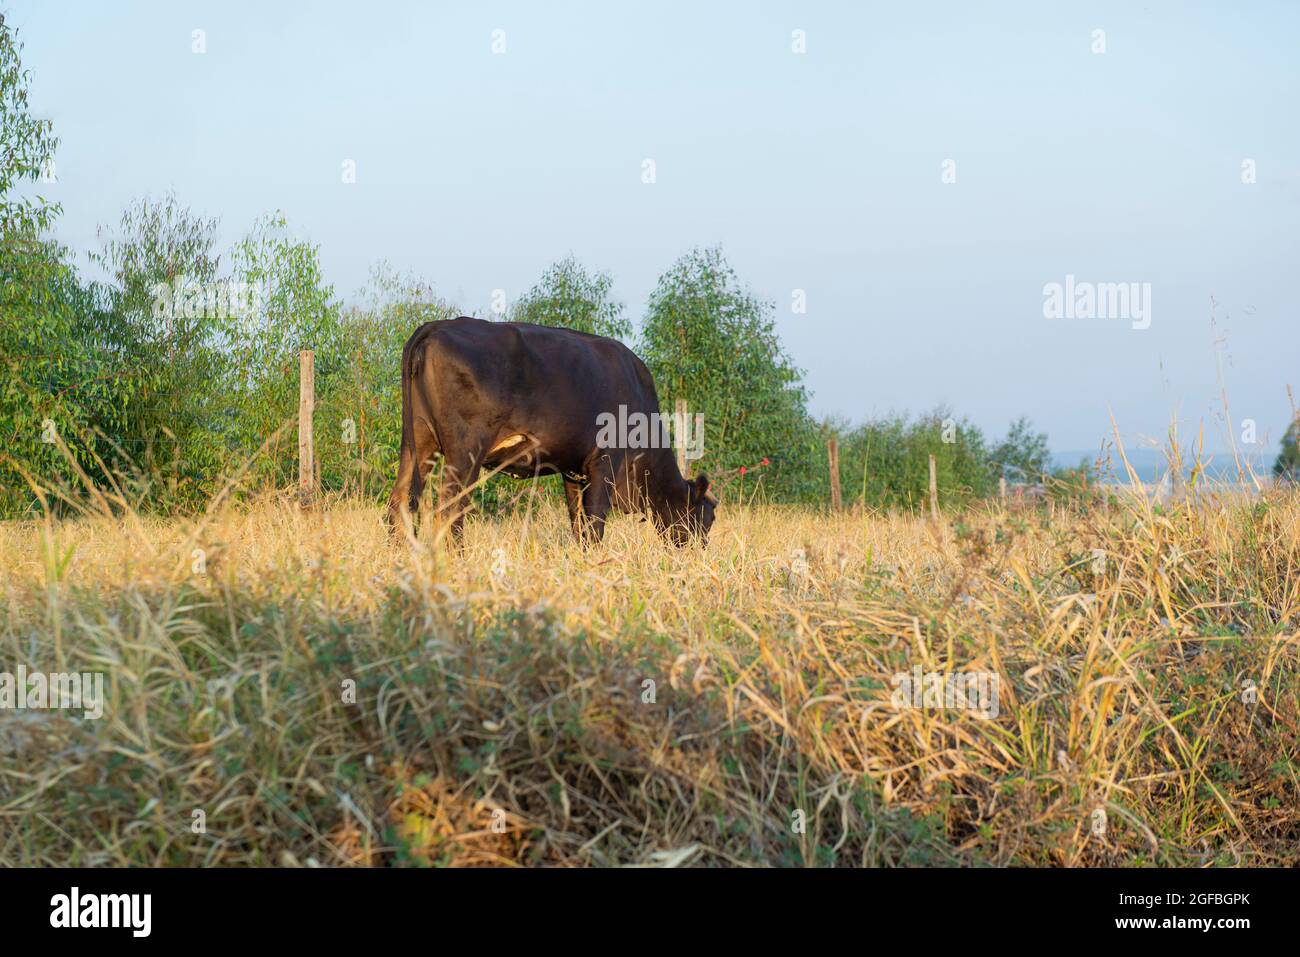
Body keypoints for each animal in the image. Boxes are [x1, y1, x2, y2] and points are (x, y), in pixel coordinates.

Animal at [385, 316, 716, 546]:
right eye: (706, 518)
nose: (699, 551)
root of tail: (438, 325)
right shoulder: (606, 461)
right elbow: (595, 522)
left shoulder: (573, 470)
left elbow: (578, 522)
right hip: (465, 448)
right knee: (450, 507)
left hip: (418, 442)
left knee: (399, 502)